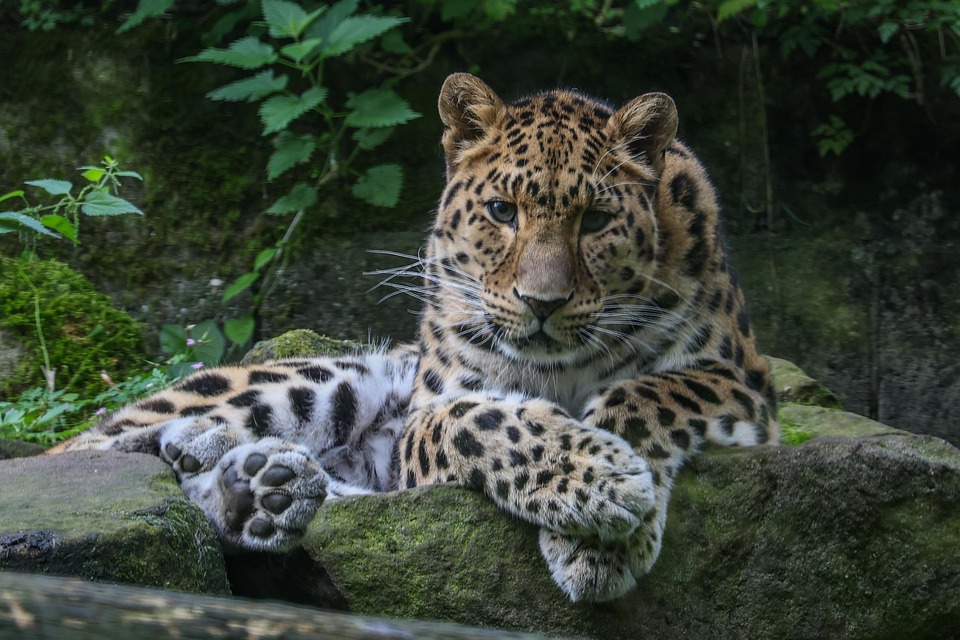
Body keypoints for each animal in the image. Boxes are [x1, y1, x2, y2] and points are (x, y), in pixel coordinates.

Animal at [52, 73, 778, 603]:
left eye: (596, 220)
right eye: (502, 211)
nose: (542, 304)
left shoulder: (744, 379)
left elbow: (643, 394)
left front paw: (601, 541)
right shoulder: (432, 406)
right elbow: (484, 422)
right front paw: (602, 484)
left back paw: (260, 486)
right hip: (326, 378)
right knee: (94, 454)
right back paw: (231, 466)